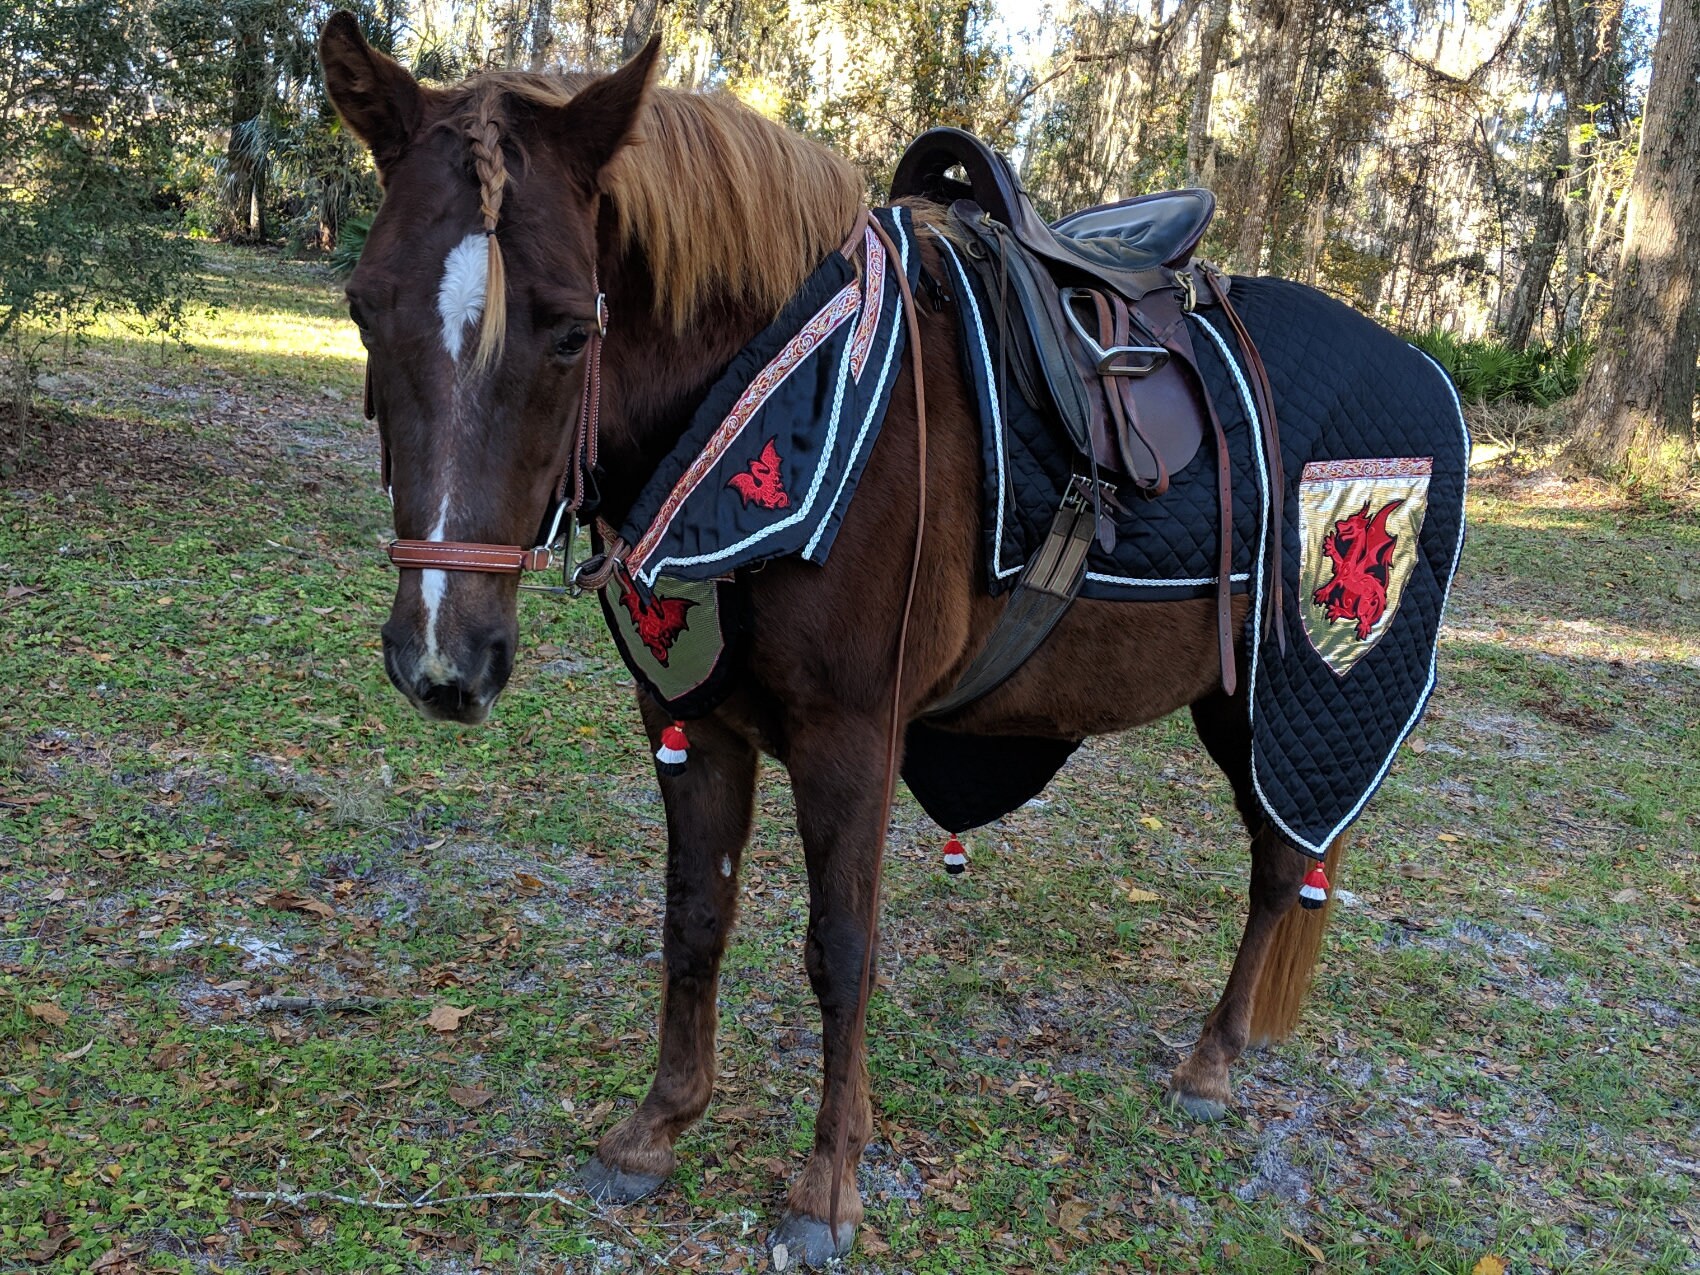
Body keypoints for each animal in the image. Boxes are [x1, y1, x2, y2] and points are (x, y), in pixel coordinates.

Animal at [321, 14, 1393, 1265]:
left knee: (1279, 863)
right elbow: (694, 919)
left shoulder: (851, 740)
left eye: (571, 332)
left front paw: (827, 1185)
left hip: (1282, 703)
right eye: (362, 305)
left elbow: (840, 952)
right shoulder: (687, 717)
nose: (440, 659)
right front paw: (657, 1125)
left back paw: (1213, 1061)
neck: (776, 392)